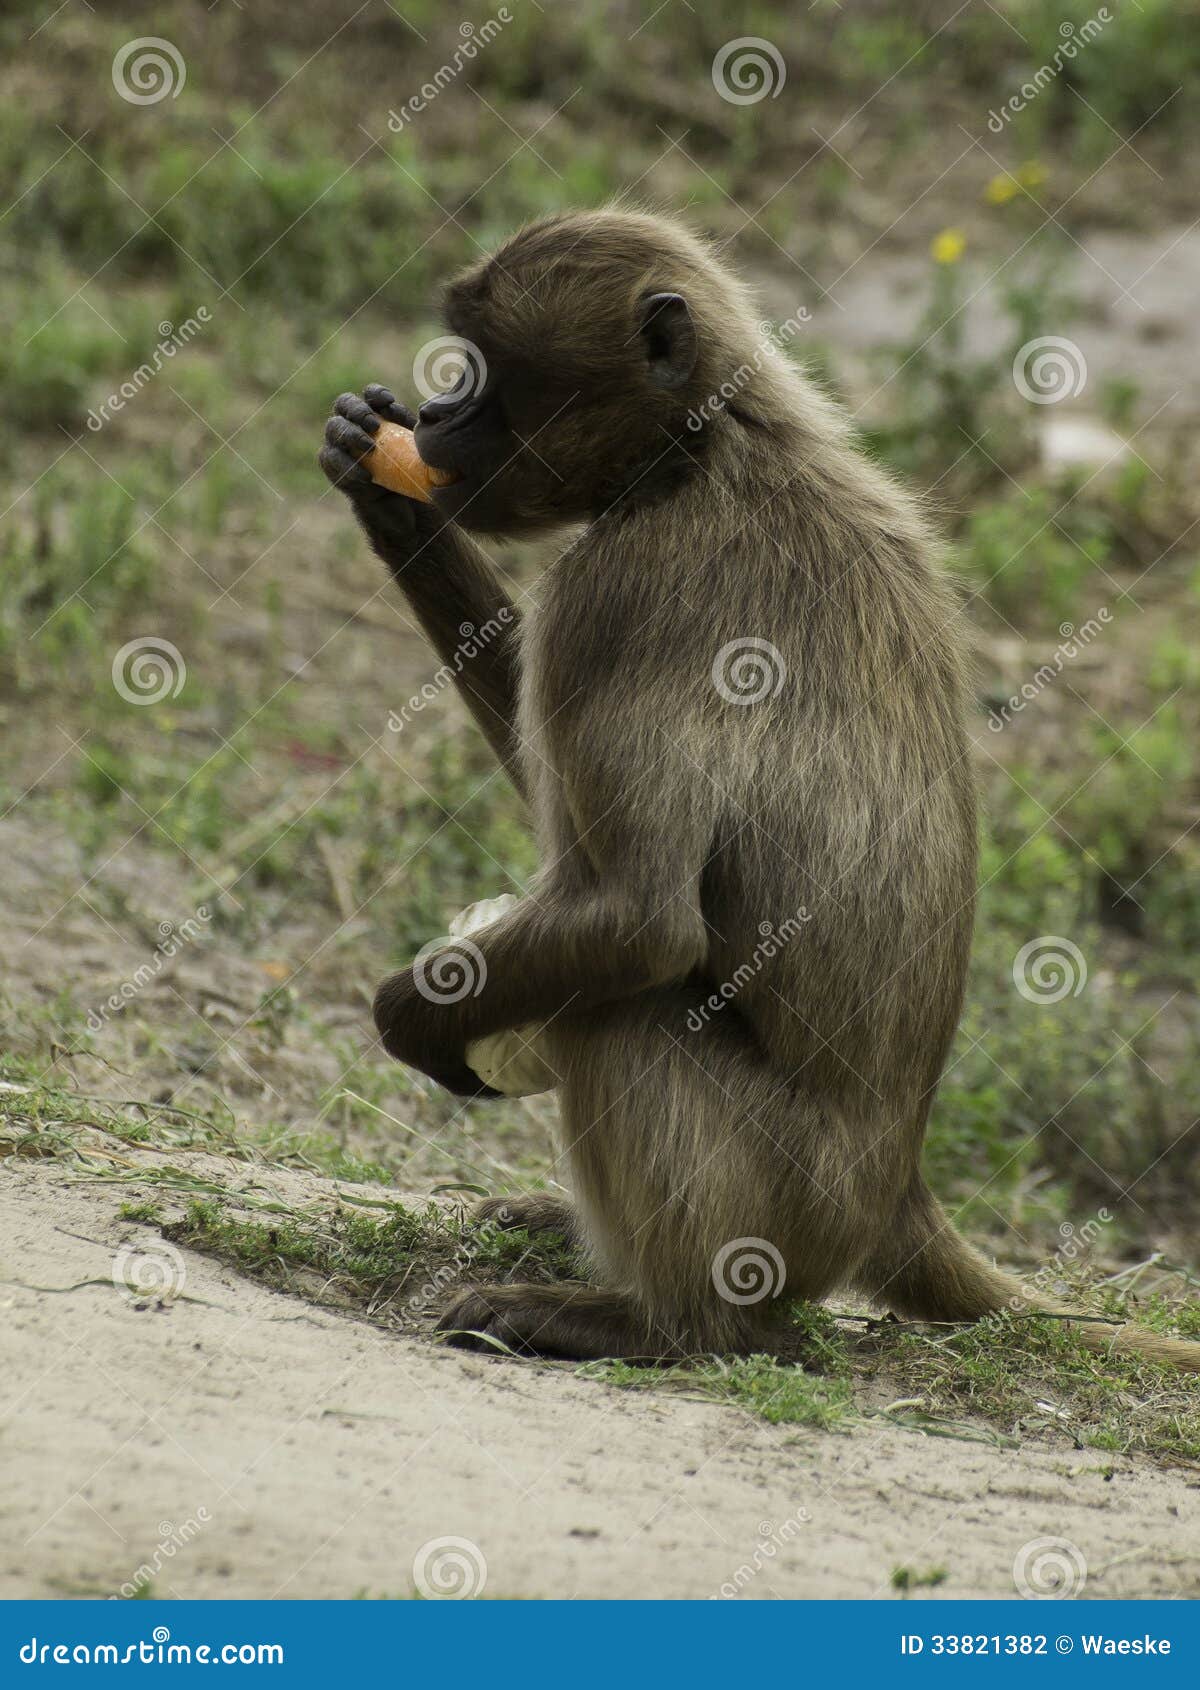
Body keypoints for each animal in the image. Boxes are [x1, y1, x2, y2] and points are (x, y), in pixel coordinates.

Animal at [319, 208, 1200, 1373]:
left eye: (481, 366)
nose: (432, 416)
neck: (703, 447)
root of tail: (897, 1190)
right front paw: (386, 496)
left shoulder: (618, 587)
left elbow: (640, 918)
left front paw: (415, 1020)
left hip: (791, 1205)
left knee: (623, 1011)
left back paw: (659, 1320)